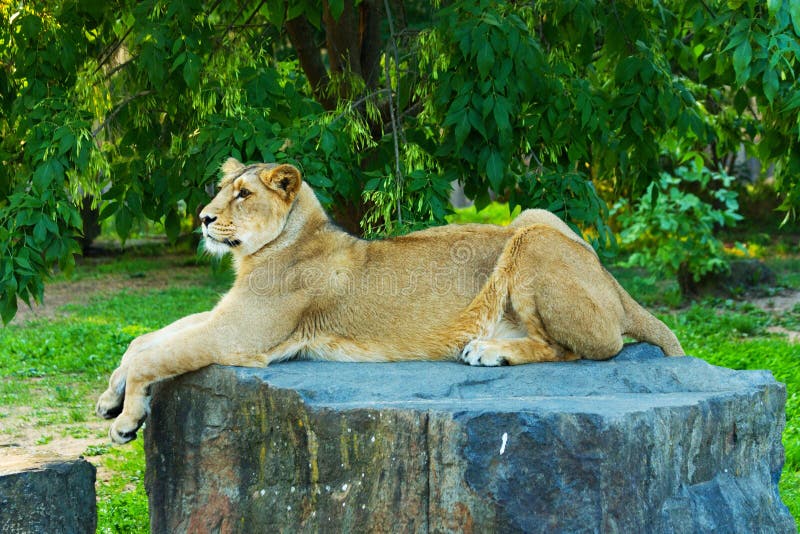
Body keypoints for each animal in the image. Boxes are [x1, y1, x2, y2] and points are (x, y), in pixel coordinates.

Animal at [96, 158, 684, 443]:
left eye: (243, 194)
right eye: (221, 190)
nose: (202, 218)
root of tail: (612, 281)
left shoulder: (242, 336)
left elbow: (155, 354)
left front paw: (127, 422)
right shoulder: (226, 316)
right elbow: (144, 339)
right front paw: (109, 397)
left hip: (534, 235)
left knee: (590, 347)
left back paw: (490, 351)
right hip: (538, 218)